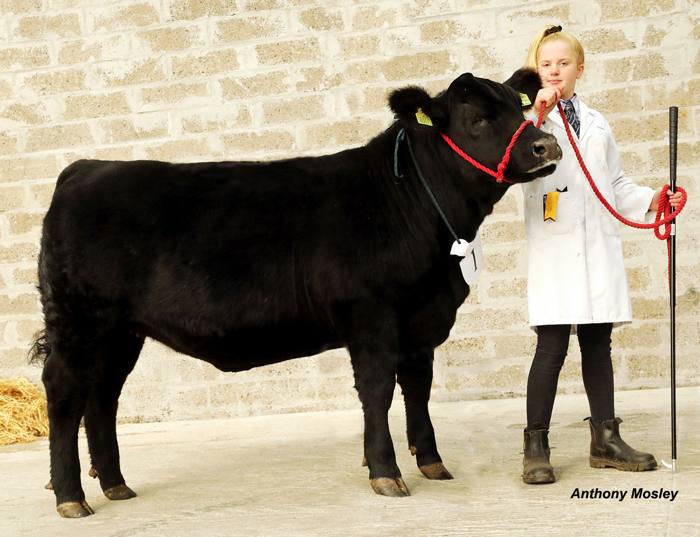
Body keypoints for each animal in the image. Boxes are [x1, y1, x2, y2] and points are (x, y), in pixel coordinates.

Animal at [30, 68, 561, 517]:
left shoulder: (420, 320)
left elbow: (418, 389)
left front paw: (431, 462)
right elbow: (377, 391)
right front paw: (385, 473)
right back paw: (71, 497)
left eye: (520, 108)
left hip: (121, 332)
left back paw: (115, 484)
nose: (547, 145)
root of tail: (84, 168)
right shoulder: (370, 317)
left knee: (102, 396)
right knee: (64, 392)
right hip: (79, 321)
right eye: (477, 119)